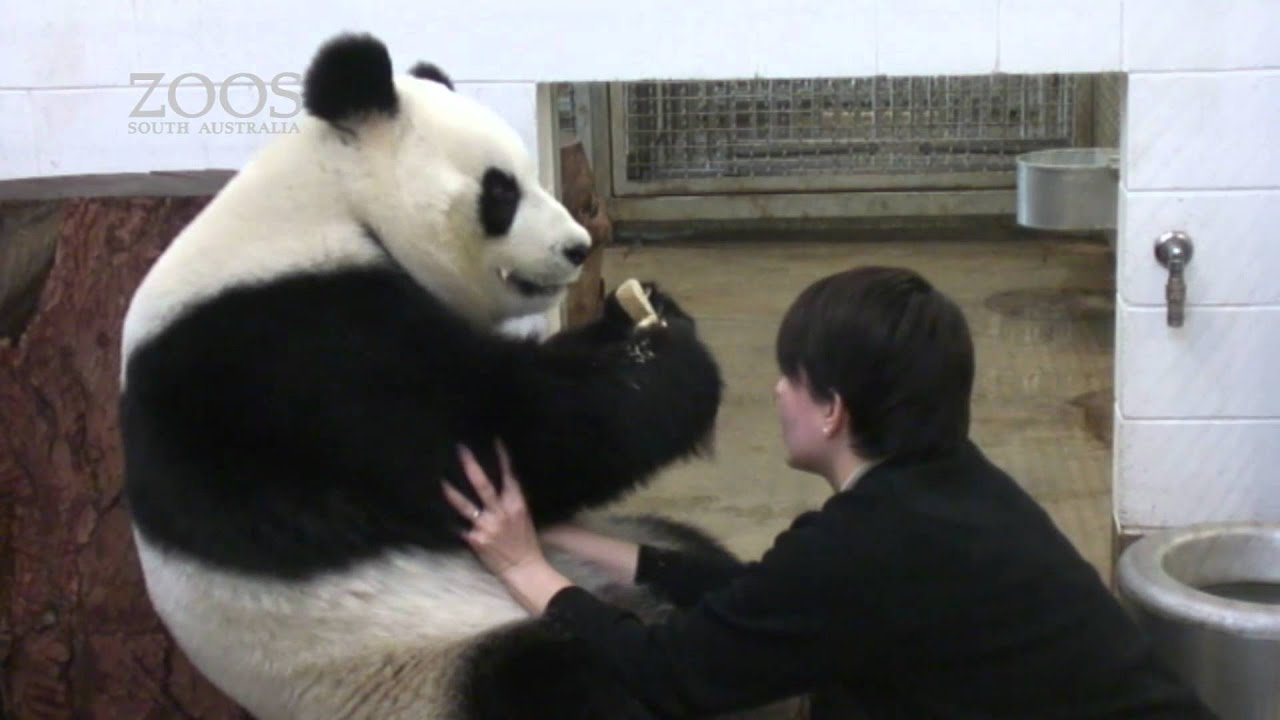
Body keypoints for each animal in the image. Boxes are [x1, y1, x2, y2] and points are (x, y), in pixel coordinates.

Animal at [119, 31, 797, 720]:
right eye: (501, 192)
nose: (578, 248)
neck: (329, 200)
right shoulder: (298, 352)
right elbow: (505, 437)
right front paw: (671, 353)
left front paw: (637, 311)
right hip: (418, 668)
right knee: (552, 679)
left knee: (688, 553)